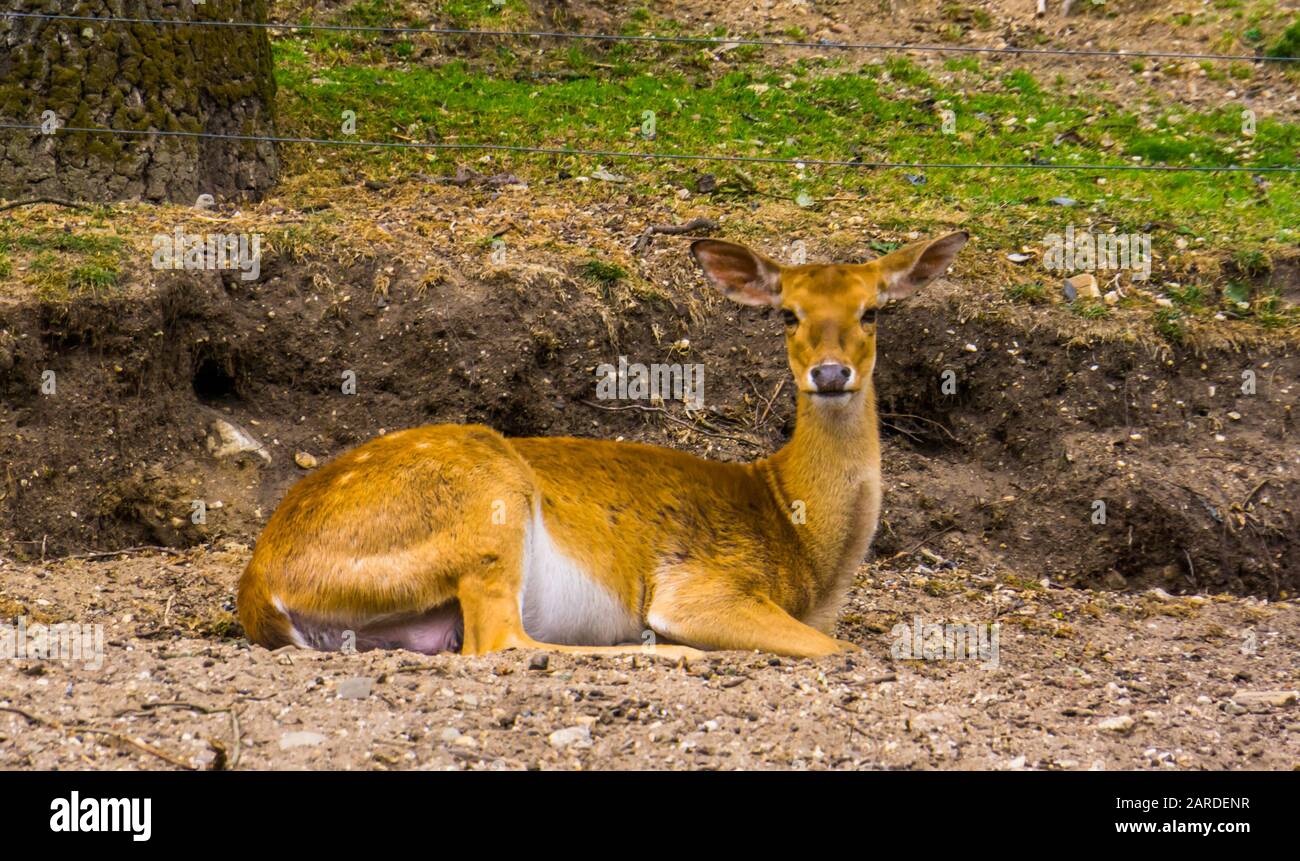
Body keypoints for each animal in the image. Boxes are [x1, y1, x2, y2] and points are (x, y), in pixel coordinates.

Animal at [237, 231, 968, 660]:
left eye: (872, 309)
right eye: (786, 312)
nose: (830, 373)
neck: (801, 540)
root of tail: (261, 586)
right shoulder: (700, 584)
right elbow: (839, 649)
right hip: (485, 502)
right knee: (501, 641)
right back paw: (662, 652)